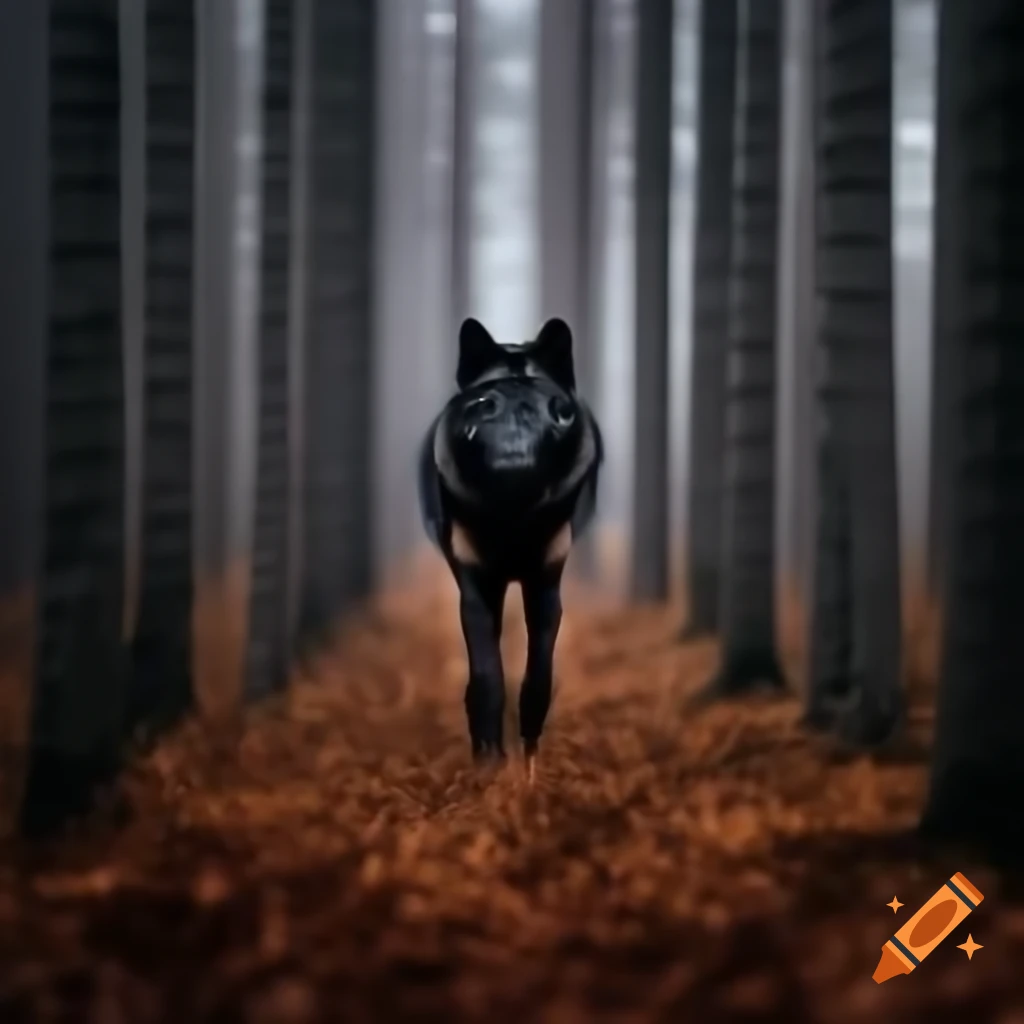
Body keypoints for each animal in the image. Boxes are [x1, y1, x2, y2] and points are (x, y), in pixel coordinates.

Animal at [417, 317, 603, 772]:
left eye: (559, 411)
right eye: (485, 402)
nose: (513, 453)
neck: (512, 522)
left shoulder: (546, 579)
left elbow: (539, 676)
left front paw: (530, 765)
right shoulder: (475, 581)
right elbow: (487, 674)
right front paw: (489, 766)